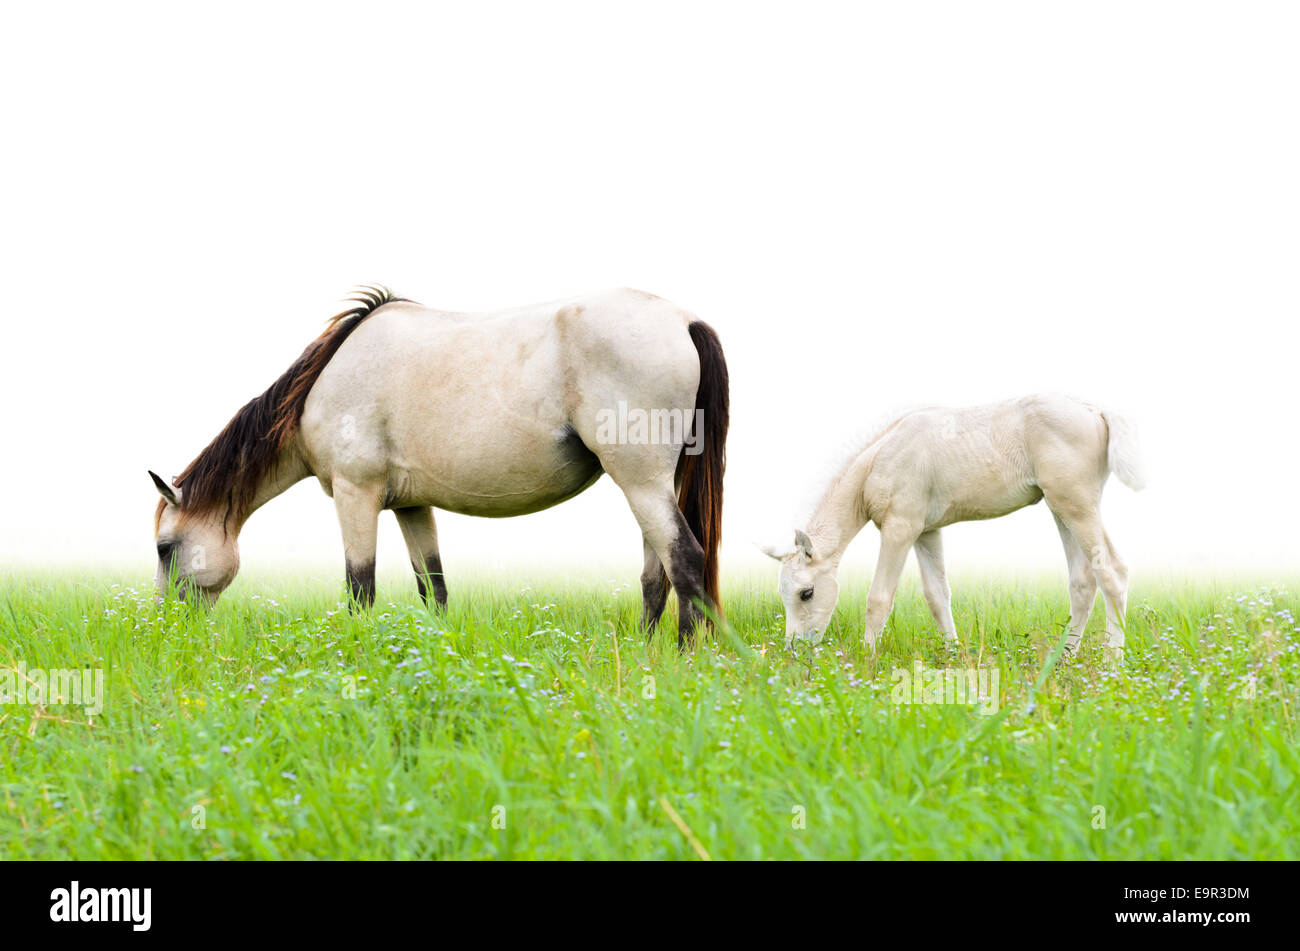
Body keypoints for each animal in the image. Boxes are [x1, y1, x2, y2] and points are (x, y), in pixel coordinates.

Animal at [150, 285, 728, 646]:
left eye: (164, 549)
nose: (169, 627)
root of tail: (685, 321)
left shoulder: (356, 494)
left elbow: (360, 588)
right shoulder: (410, 505)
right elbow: (434, 588)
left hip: (642, 481)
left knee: (685, 560)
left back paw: (681, 660)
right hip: (648, 484)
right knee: (656, 575)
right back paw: (644, 653)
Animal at [761, 394, 1146, 661]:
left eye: (806, 593)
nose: (794, 649)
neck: (880, 460)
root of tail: (1096, 412)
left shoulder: (900, 528)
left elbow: (879, 598)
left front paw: (866, 662)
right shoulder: (925, 531)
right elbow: (936, 595)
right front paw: (952, 656)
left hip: (1076, 504)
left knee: (1112, 571)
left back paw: (1112, 662)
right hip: (1061, 507)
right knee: (1083, 581)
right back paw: (1064, 660)